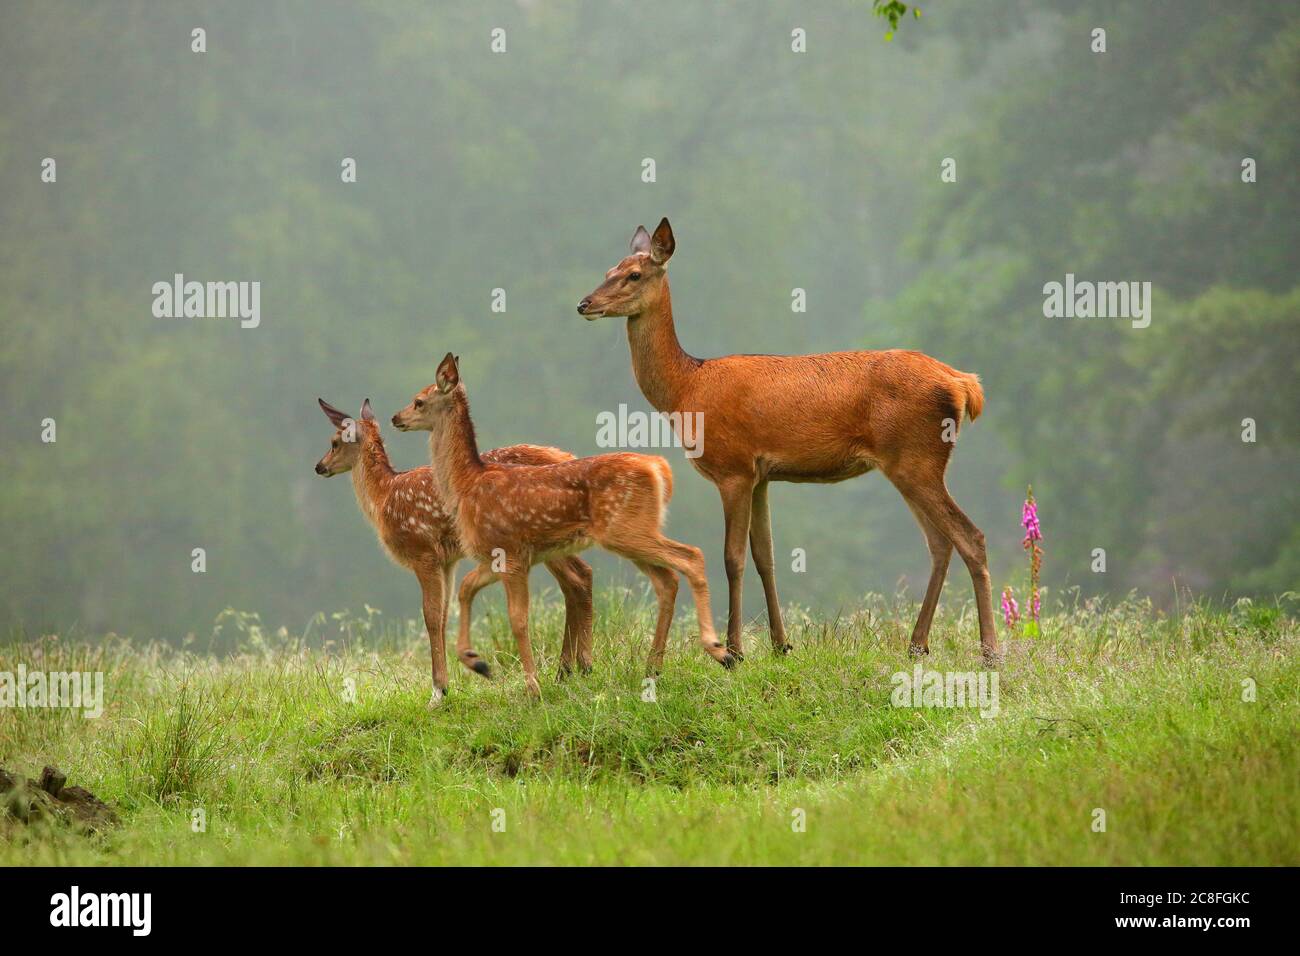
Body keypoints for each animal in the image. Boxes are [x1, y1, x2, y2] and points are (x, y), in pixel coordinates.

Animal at [314, 398, 595, 706]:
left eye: (334, 442)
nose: (319, 466)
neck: (384, 497)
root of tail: (565, 456)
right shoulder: (447, 560)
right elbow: (444, 615)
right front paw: (446, 685)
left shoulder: (422, 551)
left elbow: (431, 615)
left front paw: (438, 691)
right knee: (580, 577)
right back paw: (571, 669)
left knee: (577, 578)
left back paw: (575, 667)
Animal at [391, 354, 730, 697]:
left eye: (419, 401)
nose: (395, 417)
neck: (466, 484)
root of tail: (660, 469)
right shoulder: (495, 557)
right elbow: (465, 590)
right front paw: (477, 662)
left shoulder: (511, 553)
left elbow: (518, 619)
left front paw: (532, 687)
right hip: (633, 534)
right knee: (667, 579)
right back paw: (655, 667)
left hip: (626, 529)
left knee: (691, 556)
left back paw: (719, 651)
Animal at [577, 218, 999, 665]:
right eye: (608, 269)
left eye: (634, 274)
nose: (584, 304)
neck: (685, 390)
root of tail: (963, 384)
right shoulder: (762, 475)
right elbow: (766, 556)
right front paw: (781, 644)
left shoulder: (733, 468)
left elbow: (732, 558)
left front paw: (735, 650)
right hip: (910, 464)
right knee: (939, 543)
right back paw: (918, 644)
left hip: (916, 459)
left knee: (970, 537)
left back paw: (989, 651)